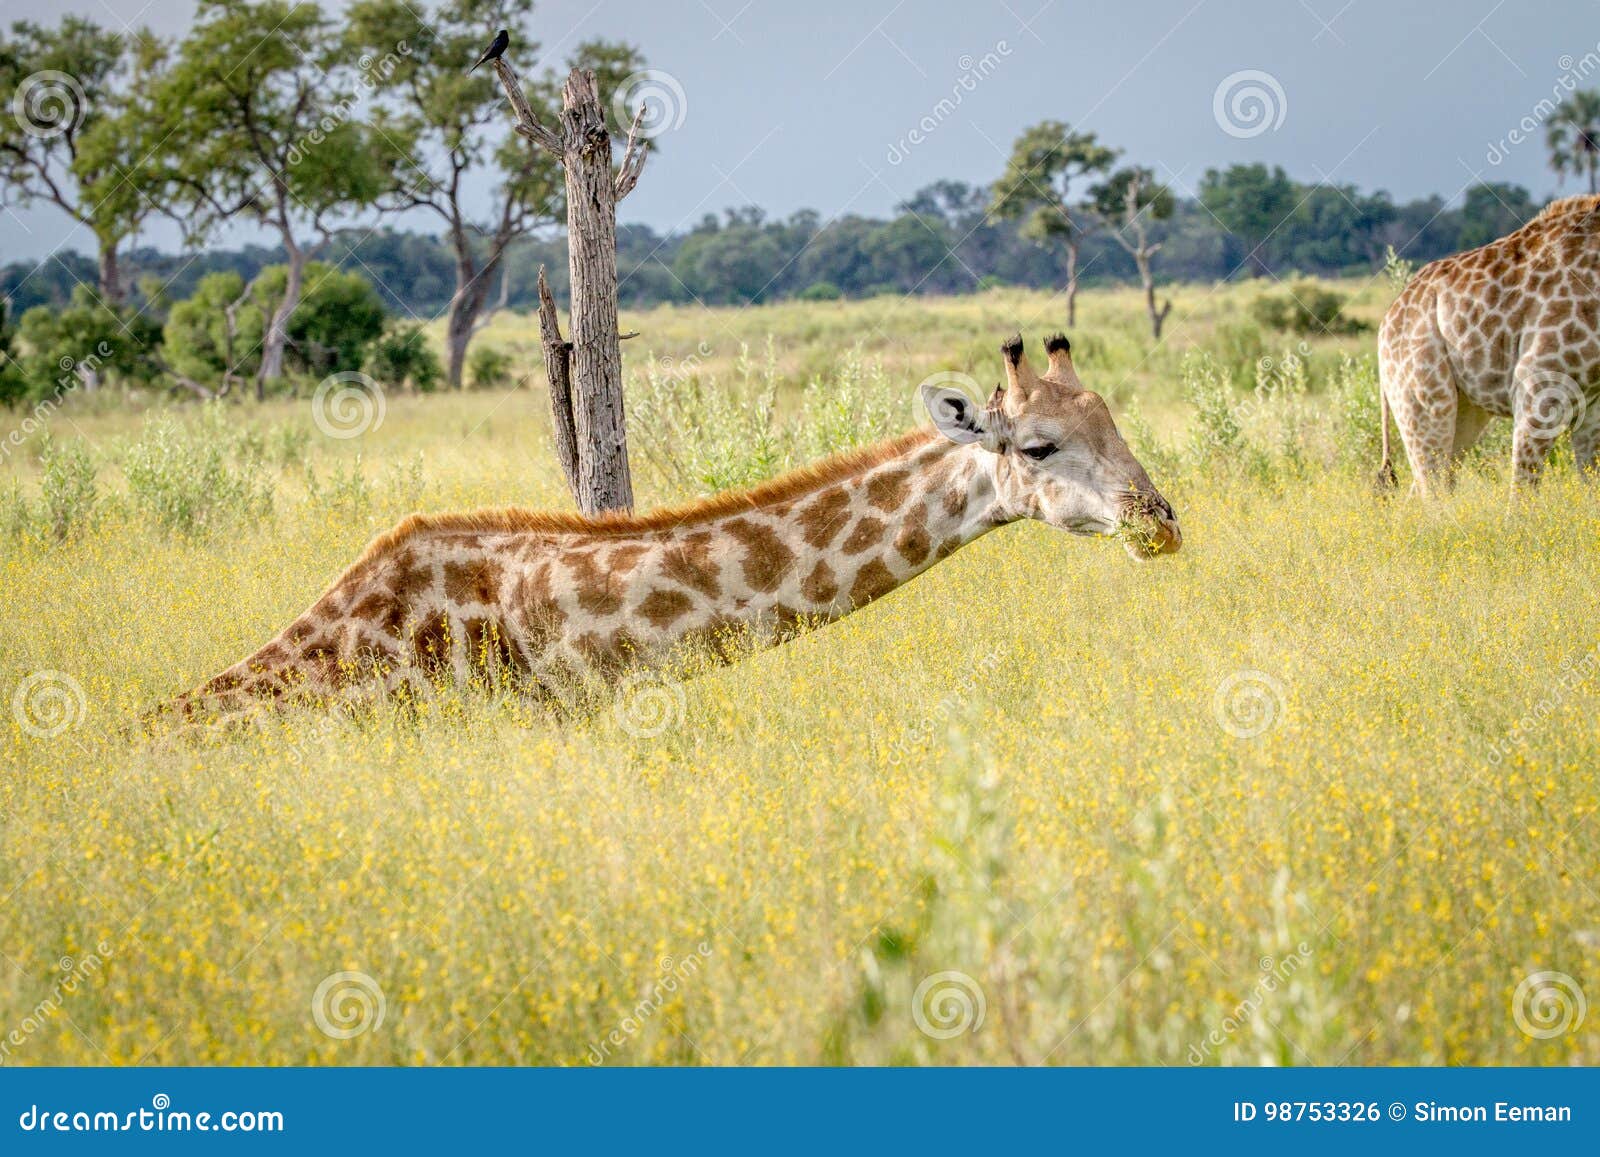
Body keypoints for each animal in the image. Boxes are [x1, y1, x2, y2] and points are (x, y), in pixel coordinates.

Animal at [1378, 194, 1600, 496]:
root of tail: (1386, 323)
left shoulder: (1594, 403)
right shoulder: (1537, 383)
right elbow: (1523, 489)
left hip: (1465, 410)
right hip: (1424, 399)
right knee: (1433, 489)